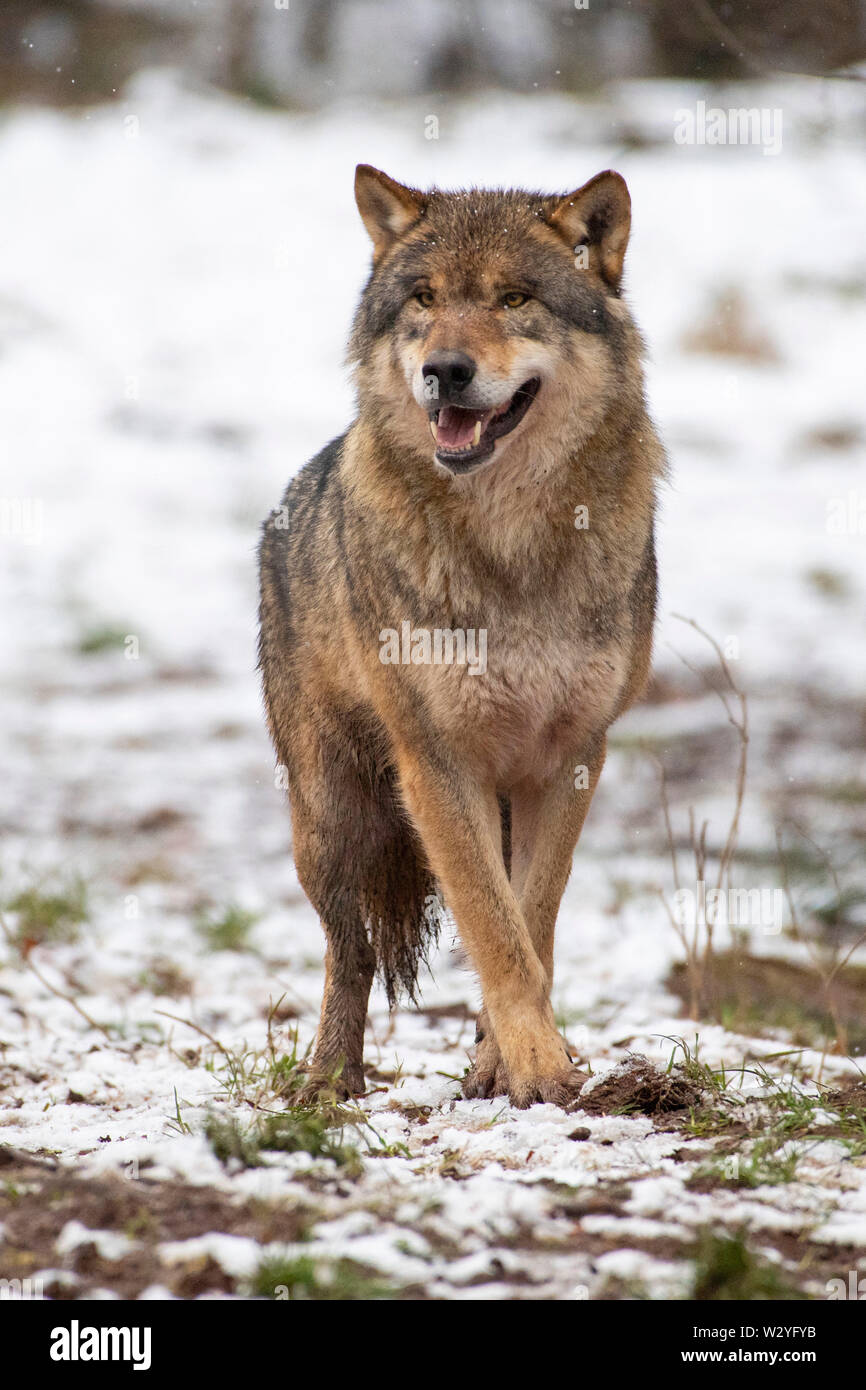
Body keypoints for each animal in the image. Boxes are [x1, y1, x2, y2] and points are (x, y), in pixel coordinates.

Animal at [255, 165, 664, 1106]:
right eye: (425, 299)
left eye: (515, 299)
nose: (447, 369)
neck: (511, 546)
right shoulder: (437, 763)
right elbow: (493, 928)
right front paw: (540, 1068)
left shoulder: (573, 758)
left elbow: (530, 923)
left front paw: (509, 1064)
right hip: (331, 823)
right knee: (352, 951)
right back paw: (328, 1082)